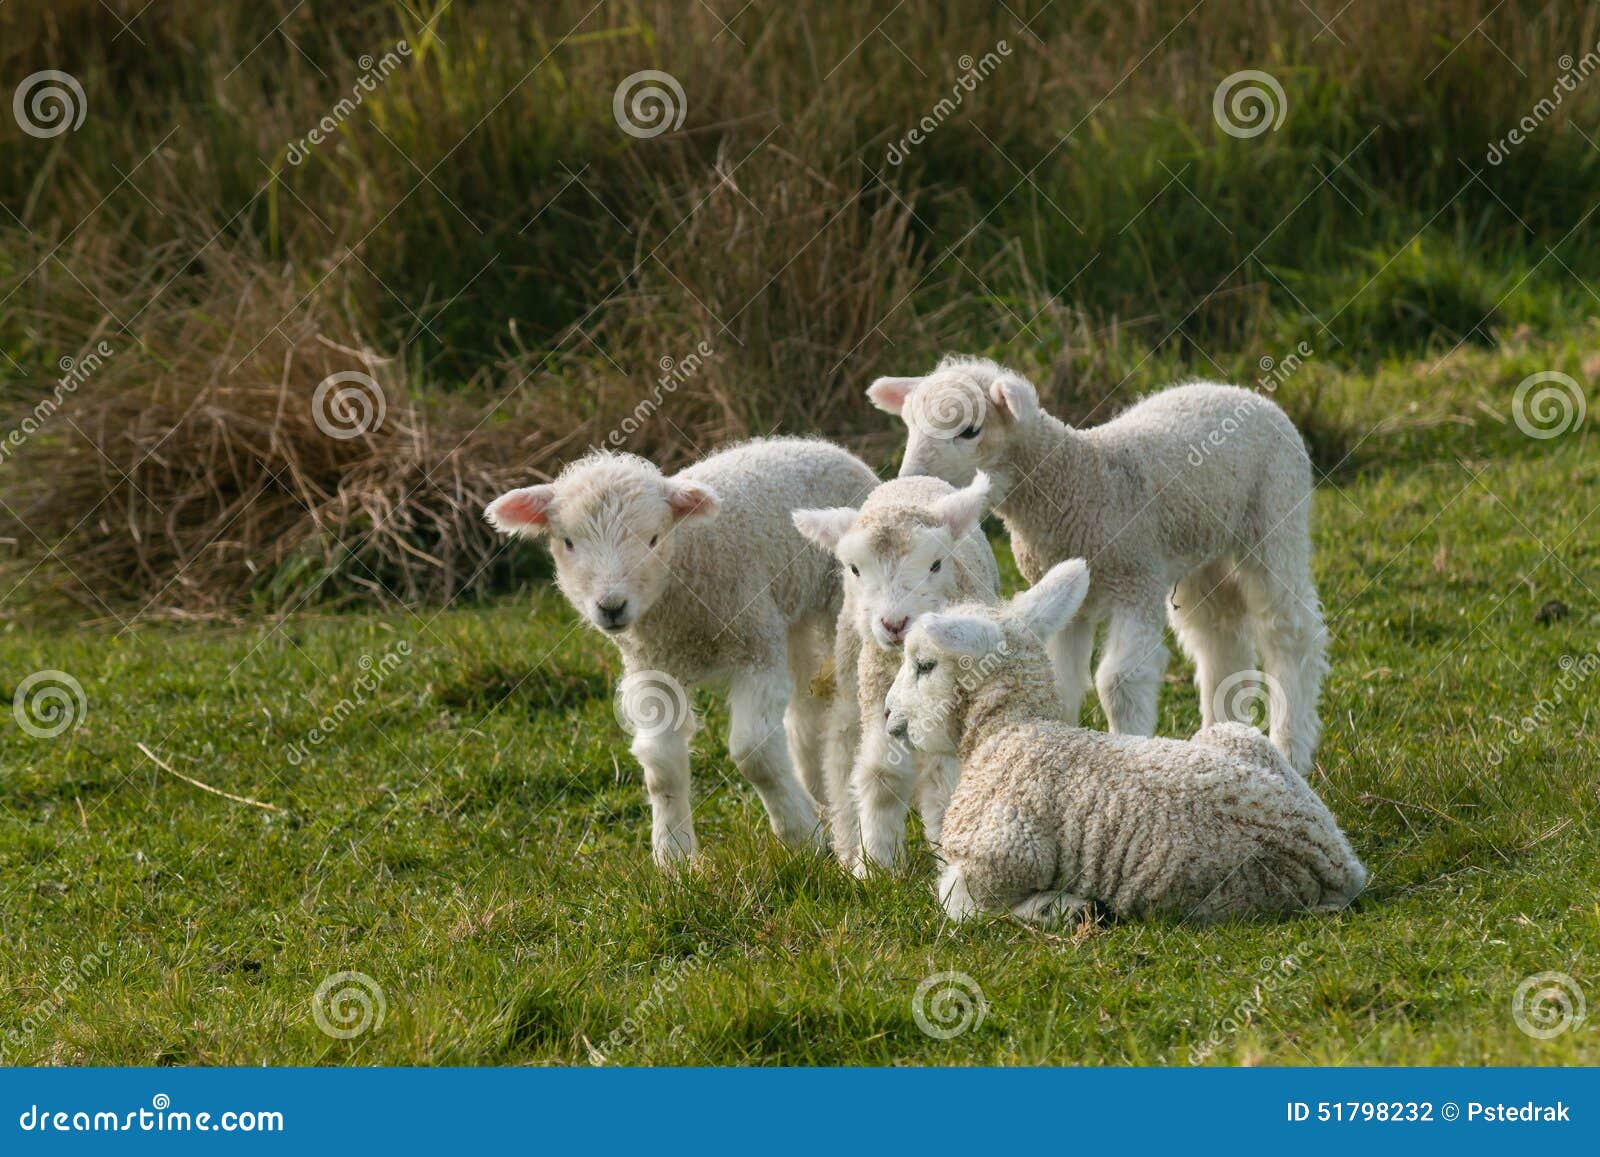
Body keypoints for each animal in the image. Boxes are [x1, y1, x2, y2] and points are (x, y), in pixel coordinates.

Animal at [485, 438, 879, 868]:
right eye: (568, 542)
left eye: (653, 539)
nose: (611, 606)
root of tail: (815, 443)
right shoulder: (653, 666)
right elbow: (662, 768)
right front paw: (673, 857)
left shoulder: (755, 645)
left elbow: (753, 752)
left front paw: (802, 838)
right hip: (791, 617)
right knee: (805, 715)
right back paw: (818, 795)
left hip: (834, 607)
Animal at [793, 473, 1000, 872]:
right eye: (855, 569)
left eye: (936, 565)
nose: (894, 624)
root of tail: (909, 480)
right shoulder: (876, 691)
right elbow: (880, 774)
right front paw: (874, 867)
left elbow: (943, 778)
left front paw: (948, 855)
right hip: (850, 675)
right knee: (841, 755)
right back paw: (846, 846)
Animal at [869, 355, 1329, 771]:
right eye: (909, 425)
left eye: (970, 431)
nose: (911, 483)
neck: (1080, 480)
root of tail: (1240, 390)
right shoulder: (1070, 600)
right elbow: (1062, 681)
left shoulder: (1136, 582)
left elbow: (1120, 683)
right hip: (1202, 550)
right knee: (1219, 634)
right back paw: (1223, 731)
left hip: (1277, 517)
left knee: (1289, 632)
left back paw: (1291, 747)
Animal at [884, 558, 1367, 925]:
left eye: (924, 665)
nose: (889, 715)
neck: (1009, 732)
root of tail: (1335, 865)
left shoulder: (1005, 851)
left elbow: (956, 902)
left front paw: (1057, 907)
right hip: (1237, 738)